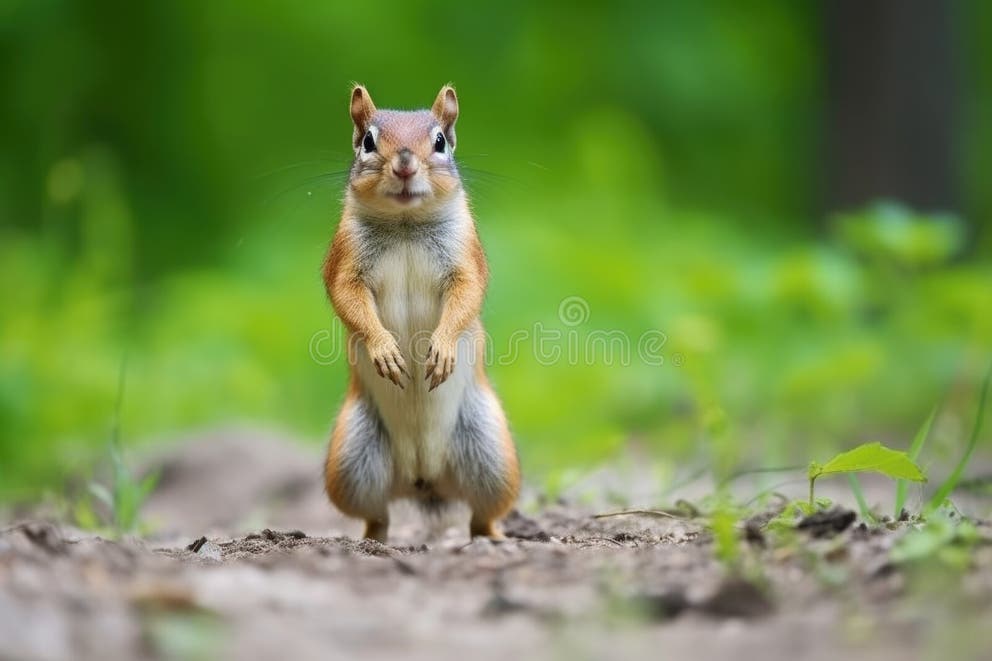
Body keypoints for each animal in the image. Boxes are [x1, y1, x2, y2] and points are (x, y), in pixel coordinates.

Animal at [322, 84, 520, 543]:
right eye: (368, 141)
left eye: (440, 141)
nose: (405, 164)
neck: (406, 224)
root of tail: (423, 479)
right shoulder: (344, 261)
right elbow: (345, 297)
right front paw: (384, 350)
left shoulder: (466, 257)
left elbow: (467, 294)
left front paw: (442, 348)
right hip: (351, 463)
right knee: (377, 514)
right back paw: (371, 541)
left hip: (492, 458)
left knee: (481, 514)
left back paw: (494, 536)